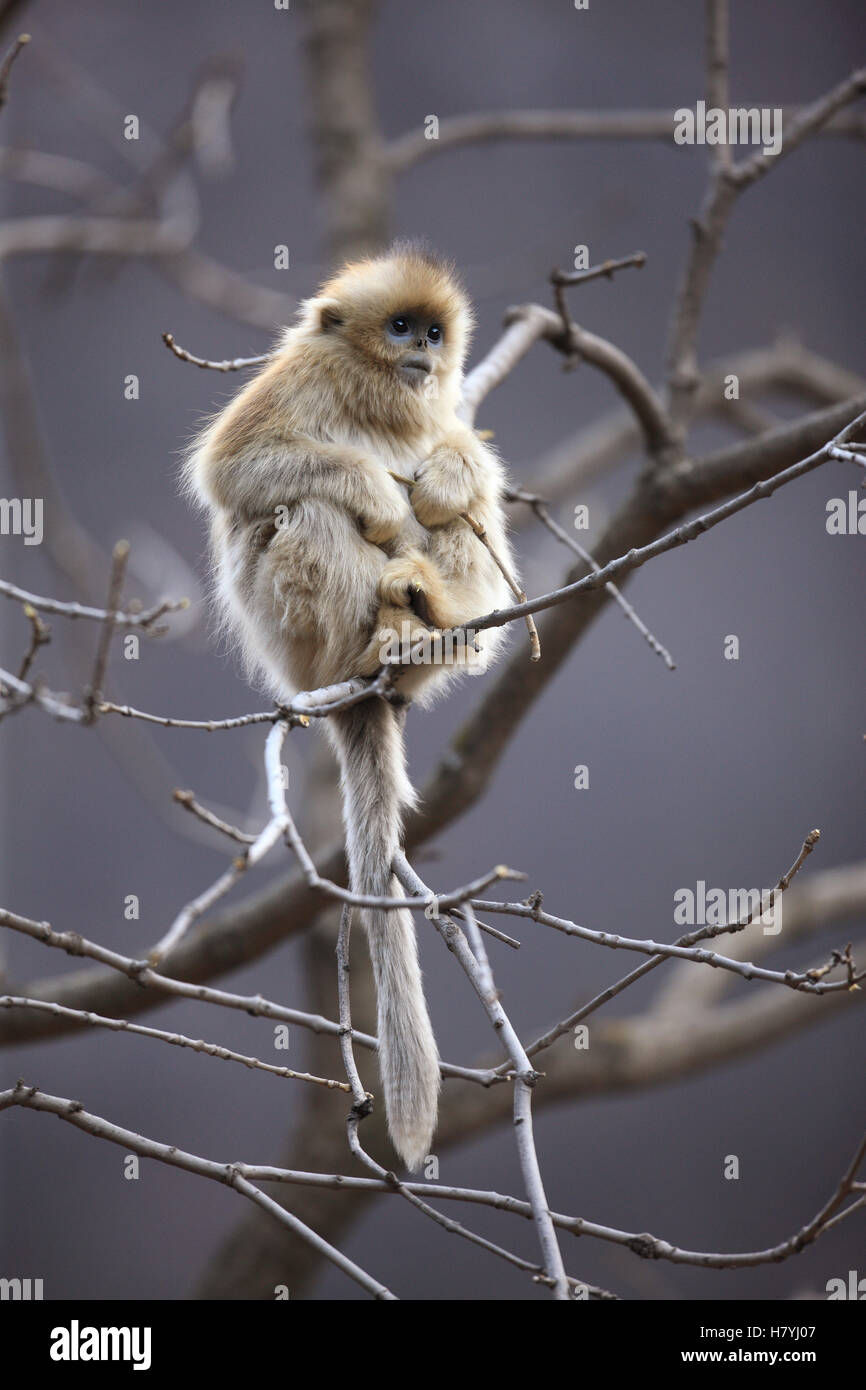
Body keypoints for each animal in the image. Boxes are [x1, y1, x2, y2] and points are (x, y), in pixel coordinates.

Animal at [184, 242, 514, 1169]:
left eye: (433, 332)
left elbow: (466, 469)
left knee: (466, 520)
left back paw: (428, 618)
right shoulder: (299, 377)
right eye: (399, 326)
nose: (425, 356)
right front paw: (377, 490)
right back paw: (379, 635)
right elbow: (234, 467)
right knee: (307, 505)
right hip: (295, 632)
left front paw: (446, 470)